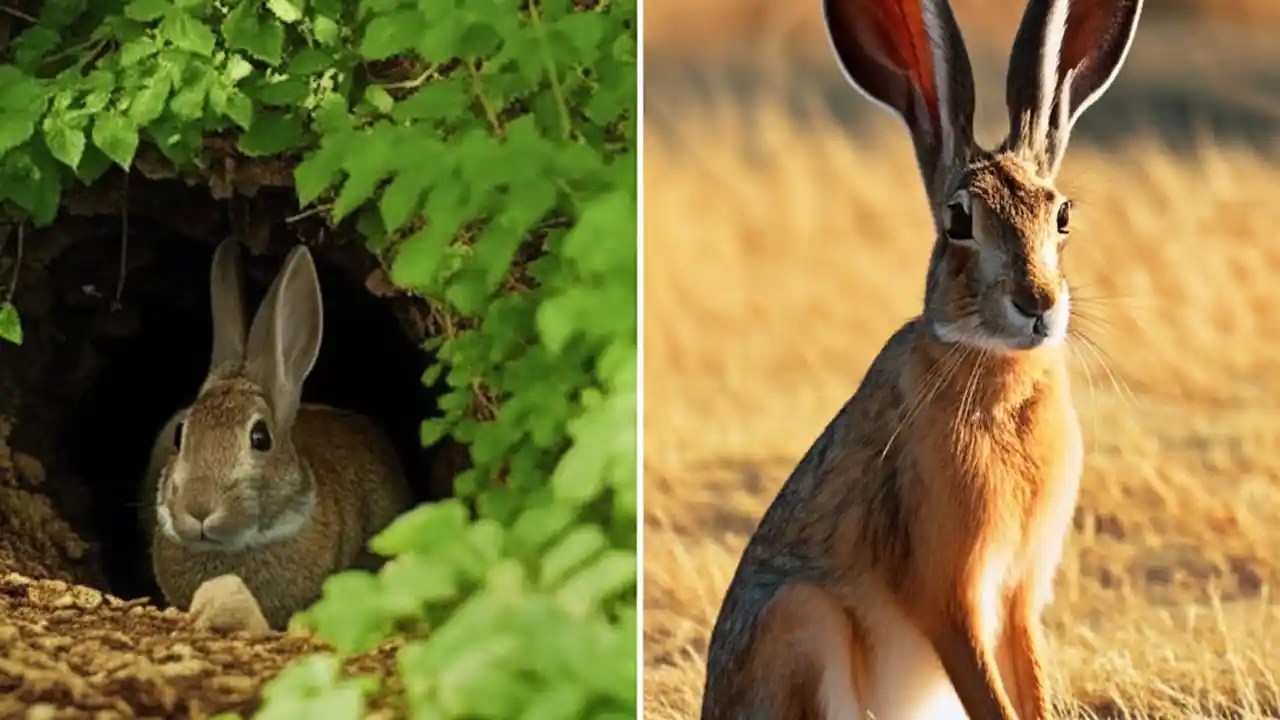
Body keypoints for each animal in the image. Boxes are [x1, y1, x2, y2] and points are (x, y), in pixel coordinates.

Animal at [700, 0, 1142, 718]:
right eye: (959, 221)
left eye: (1063, 216)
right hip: (801, 618)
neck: (995, 372)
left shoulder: (1018, 598)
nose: (1038, 303)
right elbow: (985, 688)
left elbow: (1030, 681)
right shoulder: (947, 594)